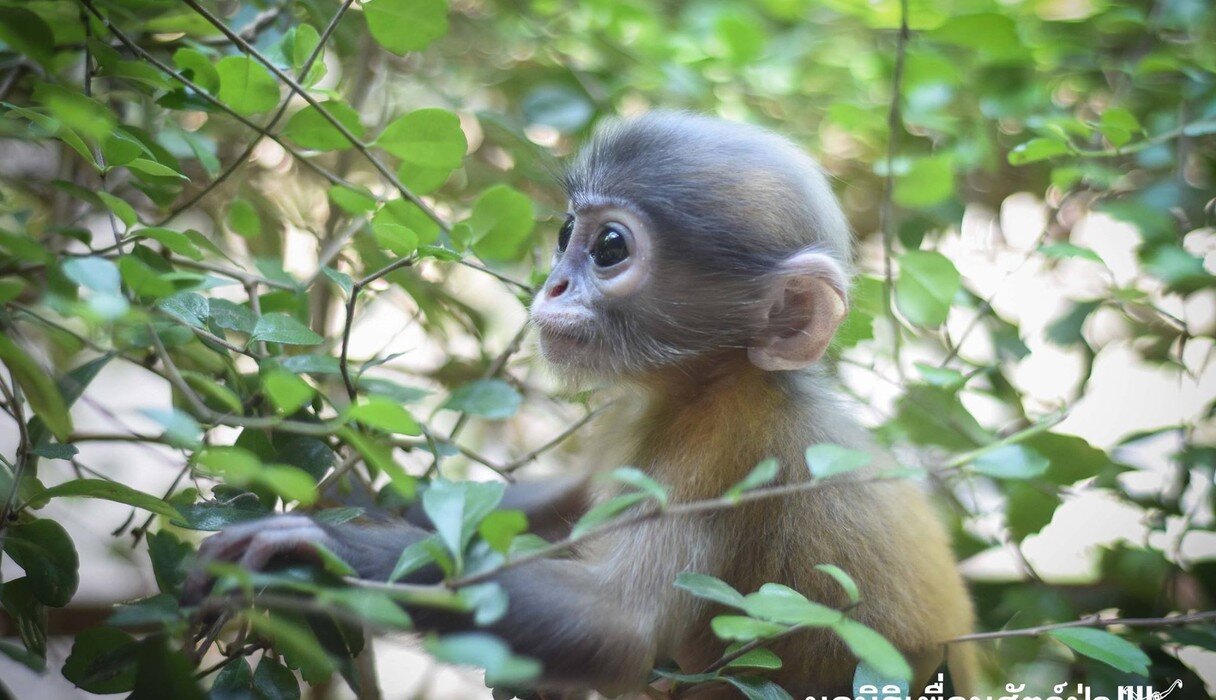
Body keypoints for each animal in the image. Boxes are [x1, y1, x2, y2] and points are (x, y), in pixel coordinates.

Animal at [183, 111, 978, 697]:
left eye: (611, 247)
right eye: (568, 233)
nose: (555, 284)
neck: (705, 382)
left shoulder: (732, 440)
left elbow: (612, 626)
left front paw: (321, 546)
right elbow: (562, 503)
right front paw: (353, 497)